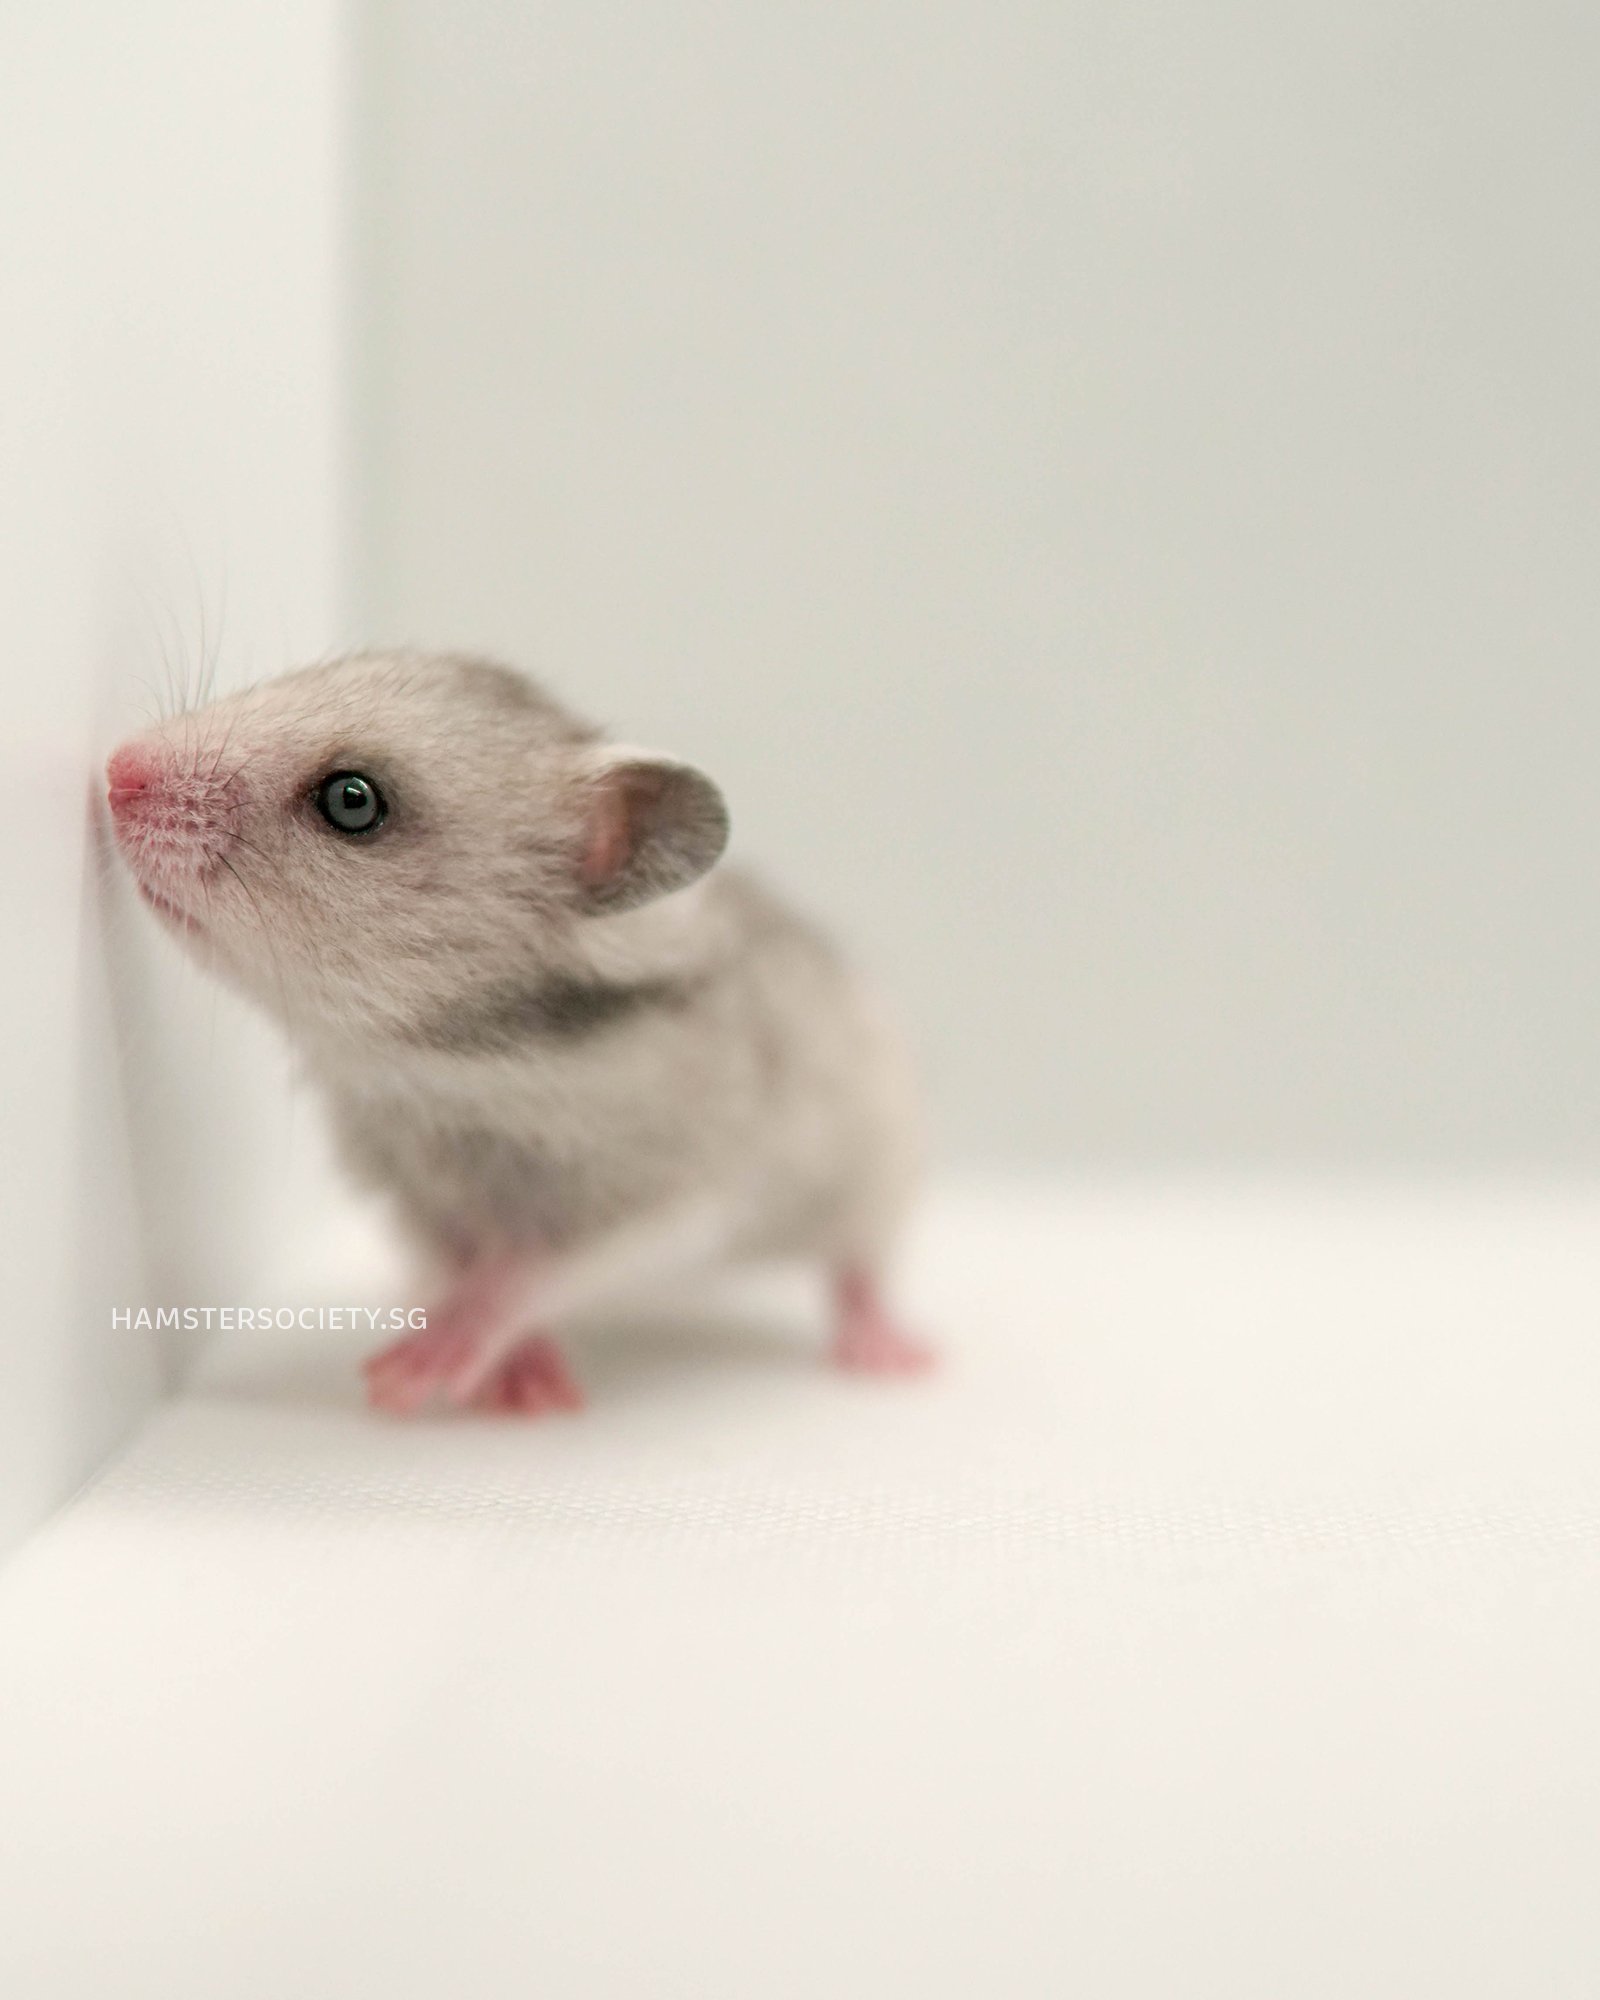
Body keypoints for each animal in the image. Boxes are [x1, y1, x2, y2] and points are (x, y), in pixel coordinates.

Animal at [105, 649, 932, 1414]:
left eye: (352, 800)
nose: (115, 770)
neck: (442, 1066)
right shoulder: (413, 1197)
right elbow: (457, 1268)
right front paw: (521, 1388)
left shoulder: (664, 1189)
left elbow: (525, 1275)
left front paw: (413, 1374)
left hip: (878, 1160)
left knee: (861, 1263)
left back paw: (890, 1357)